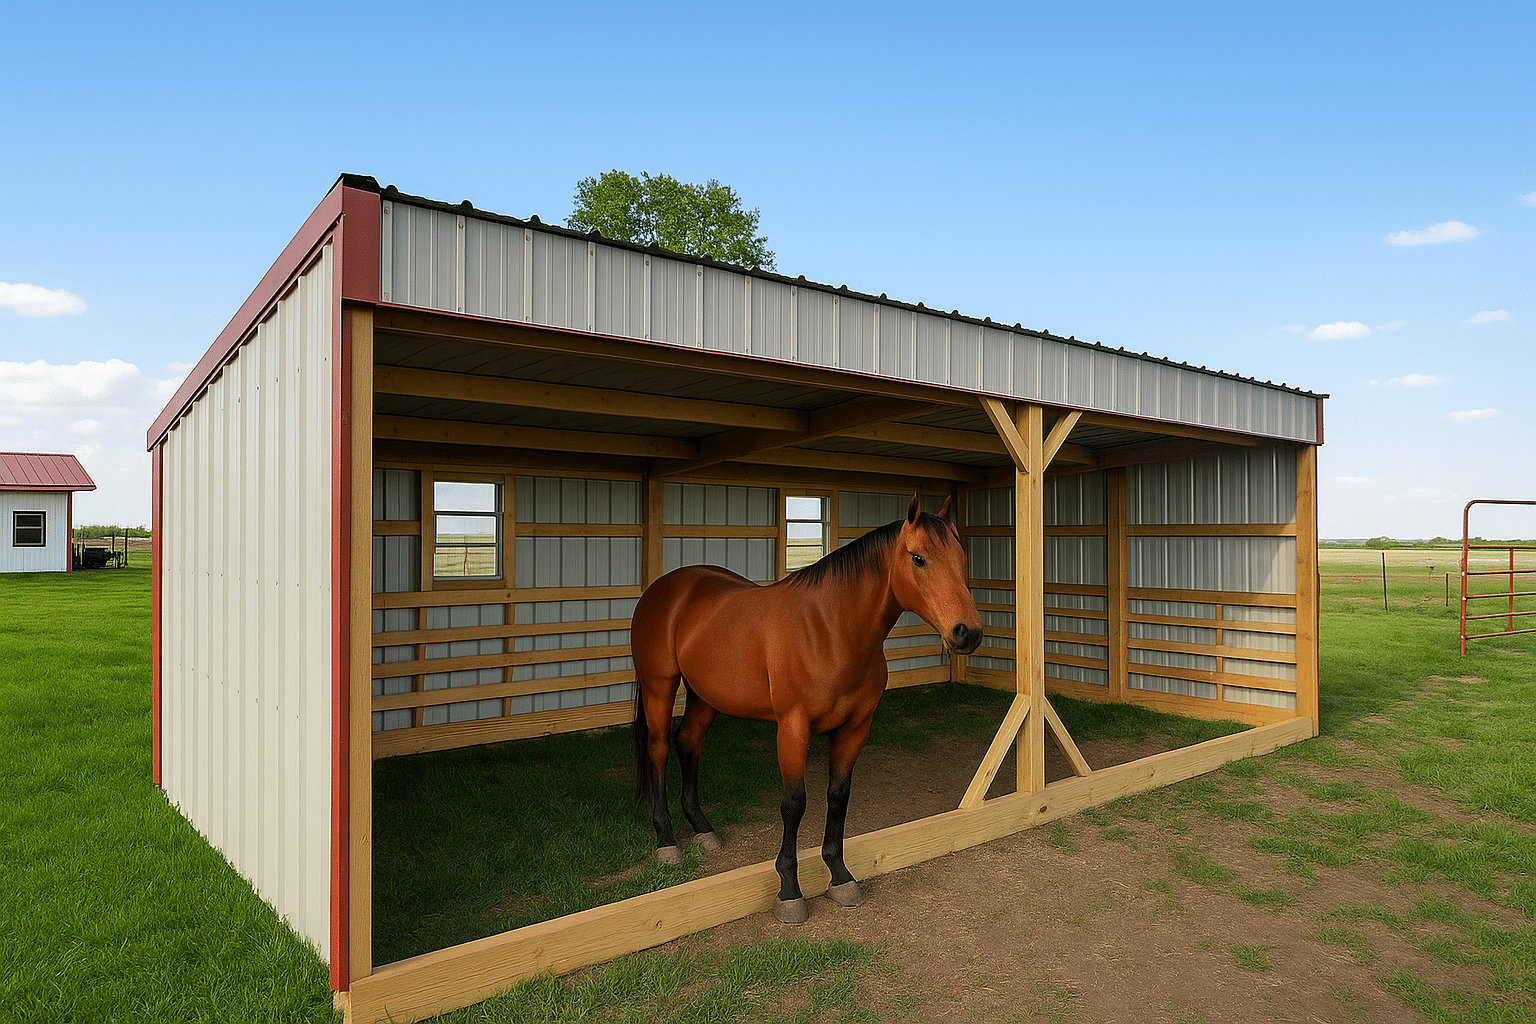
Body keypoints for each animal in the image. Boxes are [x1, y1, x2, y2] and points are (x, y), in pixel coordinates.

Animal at [630, 492, 983, 924]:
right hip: (659, 687)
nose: (968, 632)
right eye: (918, 558)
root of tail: (665, 588)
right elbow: (794, 804)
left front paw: (840, 875)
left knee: (688, 742)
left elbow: (838, 795)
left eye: (961, 557)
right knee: (660, 747)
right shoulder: (792, 727)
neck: (830, 630)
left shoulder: (855, 728)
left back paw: (702, 827)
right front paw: (789, 891)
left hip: (705, 695)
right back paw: (666, 840)